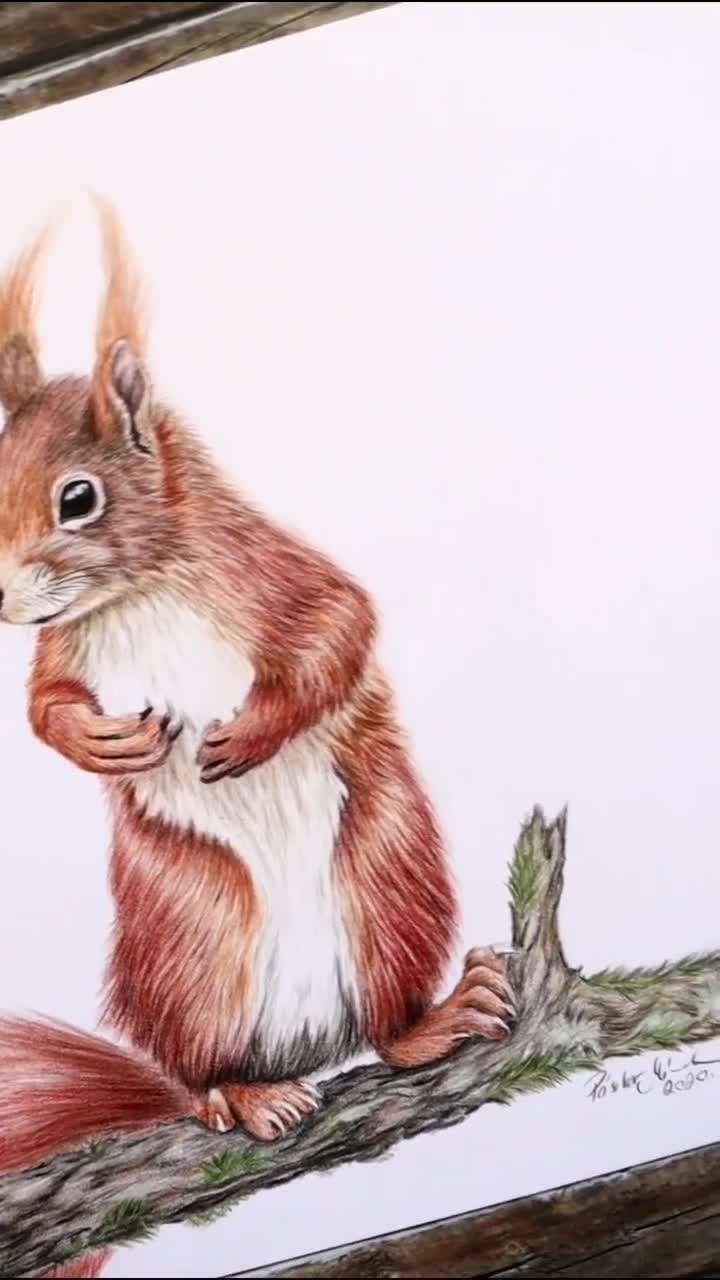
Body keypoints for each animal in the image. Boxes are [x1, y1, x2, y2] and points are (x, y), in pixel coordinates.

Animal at [0, 201, 514, 1280]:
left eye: (78, 497)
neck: (138, 592)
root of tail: (307, 1047)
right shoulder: (63, 646)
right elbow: (43, 704)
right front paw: (101, 742)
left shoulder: (269, 574)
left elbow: (341, 627)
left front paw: (253, 734)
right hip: (195, 933)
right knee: (203, 1075)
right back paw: (239, 1095)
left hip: (388, 875)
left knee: (387, 1028)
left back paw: (437, 1022)